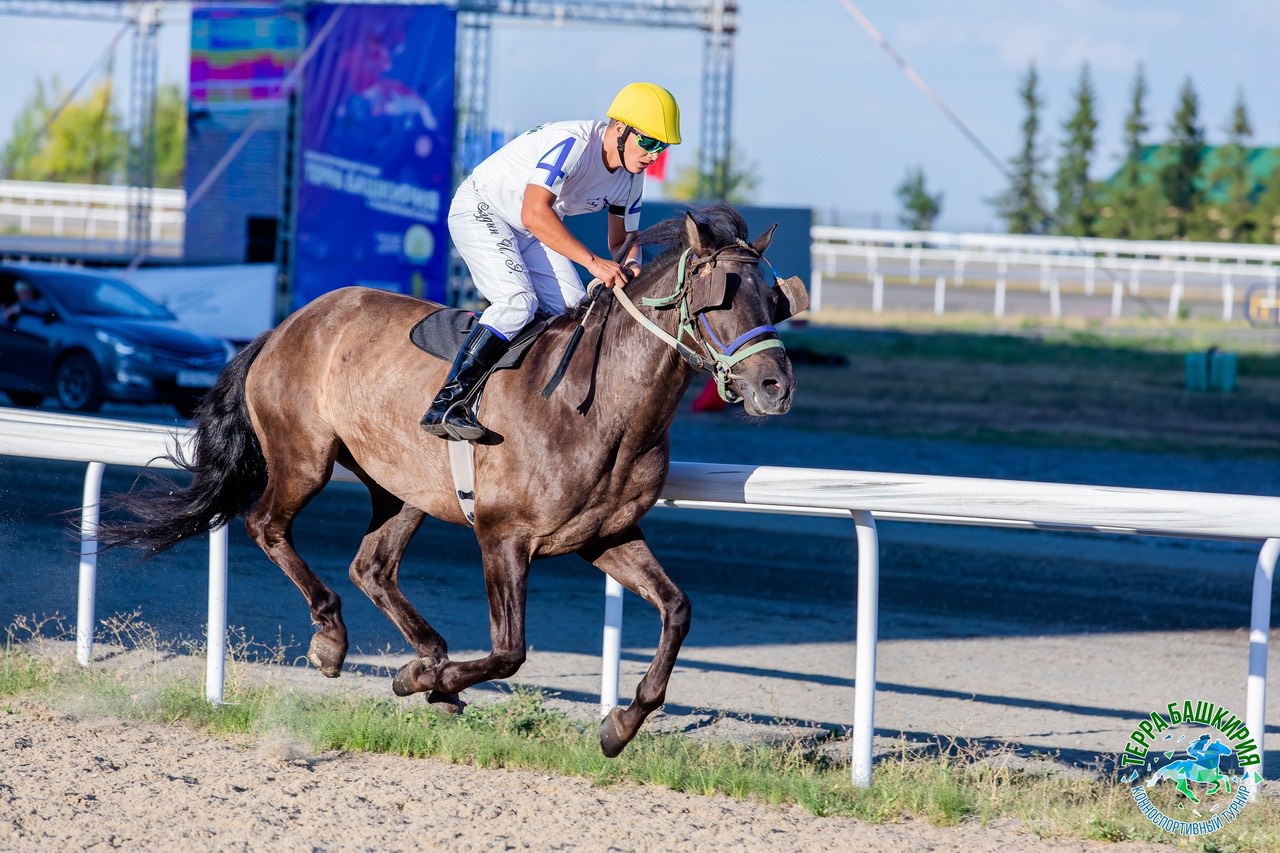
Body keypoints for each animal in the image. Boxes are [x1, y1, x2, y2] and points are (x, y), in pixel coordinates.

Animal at [99, 202, 803, 753]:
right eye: (722, 297)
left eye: (775, 300)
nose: (776, 387)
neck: (598, 406)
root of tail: (288, 324)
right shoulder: (502, 535)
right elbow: (510, 650)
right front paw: (420, 681)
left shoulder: (607, 535)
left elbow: (677, 609)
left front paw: (620, 724)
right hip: (305, 457)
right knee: (268, 525)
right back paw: (335, 640)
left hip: (404, 485)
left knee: (372, 565)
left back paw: (426, 653)